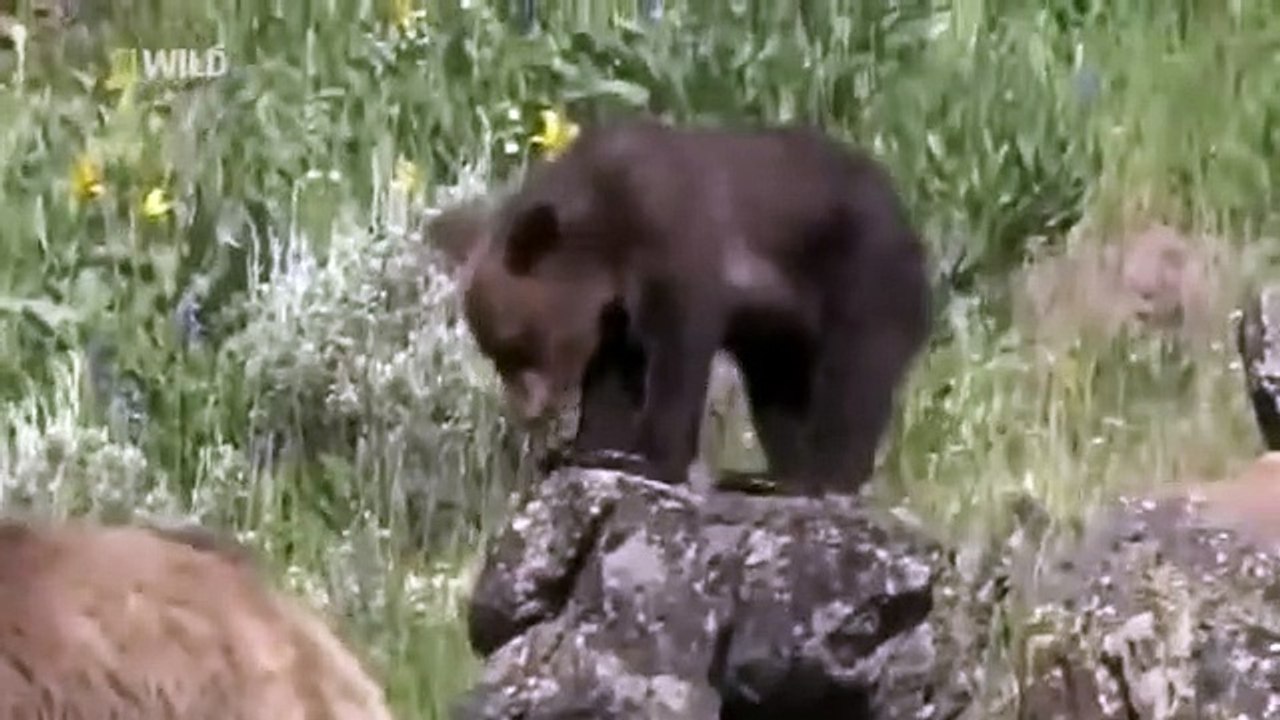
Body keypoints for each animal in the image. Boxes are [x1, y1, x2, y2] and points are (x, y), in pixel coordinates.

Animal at [430, 118, 931, 495]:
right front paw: (588, 448)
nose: (529, 413)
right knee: (778, 392)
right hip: (780, 332)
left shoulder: (675, 240)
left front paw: (652, 459)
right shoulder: (614, 312)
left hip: (864, 273)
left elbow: (678, 352)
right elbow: (613, 376)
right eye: (494, 353)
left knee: (855, 371)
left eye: (518, 343)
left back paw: (823, 474)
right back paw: (775, 474)